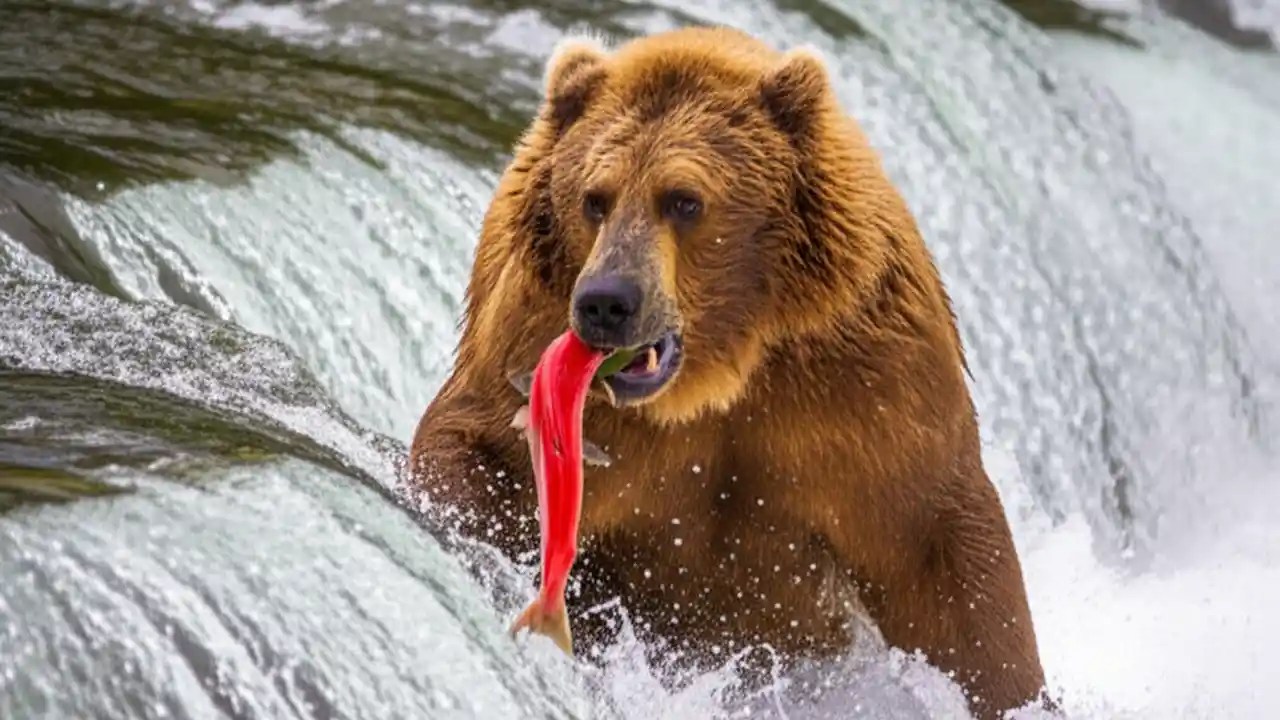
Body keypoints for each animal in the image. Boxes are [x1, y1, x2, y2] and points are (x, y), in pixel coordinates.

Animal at [409, 26, 1048, 719]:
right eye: (594, 198)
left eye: (684, 200)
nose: (607, 302)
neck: (718, 369)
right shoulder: (529, 330)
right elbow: (476, 449)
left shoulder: (864, 383)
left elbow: (943, 558)